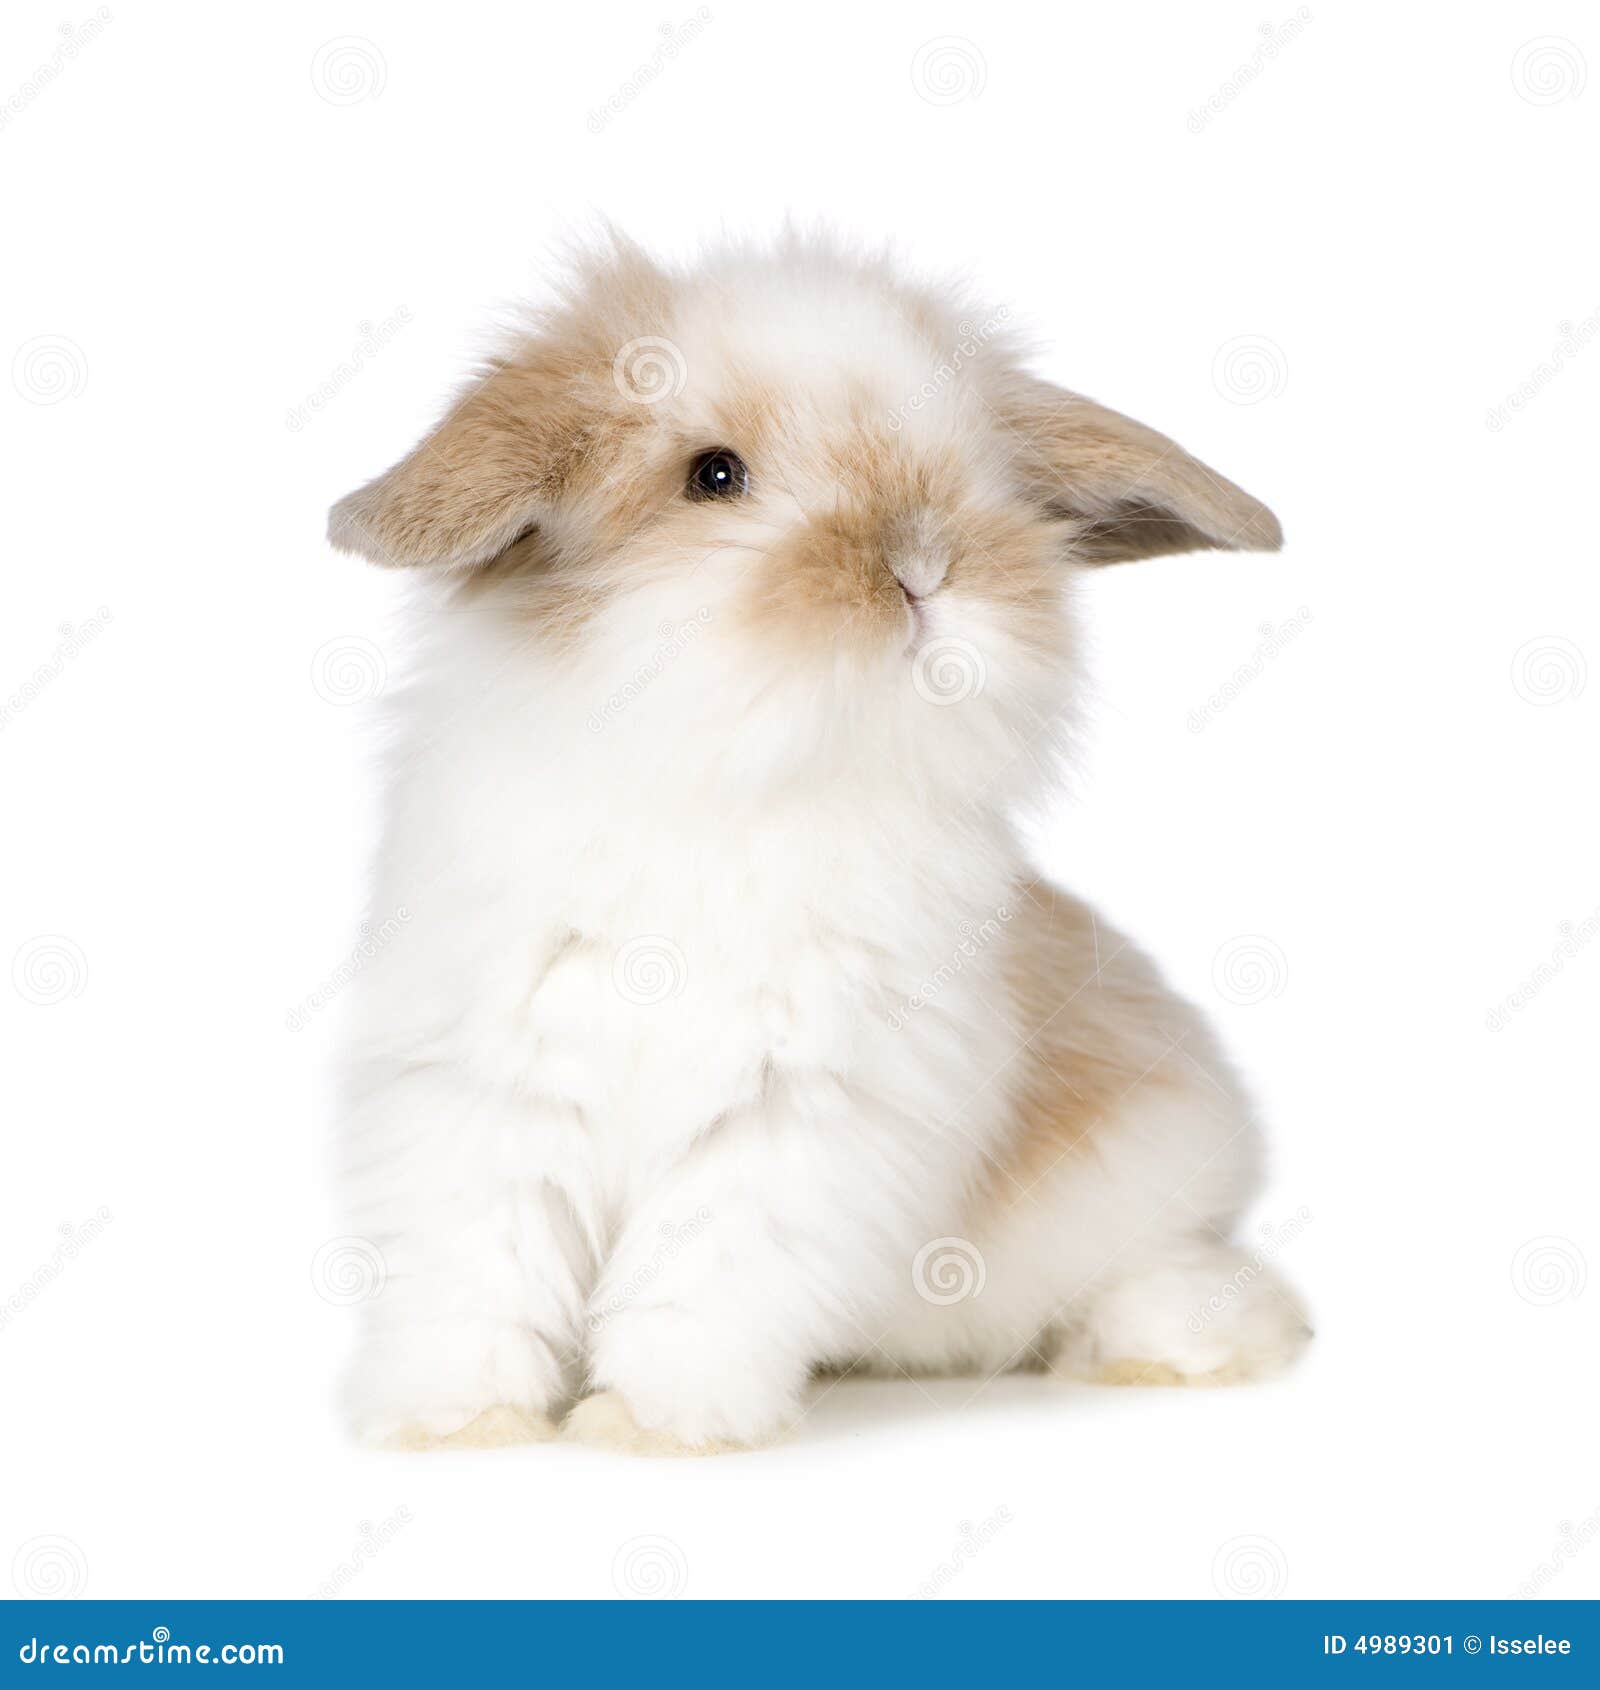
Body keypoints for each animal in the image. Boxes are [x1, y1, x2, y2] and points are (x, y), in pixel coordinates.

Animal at [326, 231, 1310, 1454]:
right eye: (713, 474)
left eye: (981, 477)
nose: (925, 564)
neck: (734, 788)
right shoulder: (484, 1091)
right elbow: (478, 1269)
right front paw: (458, 1423)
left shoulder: (795, 1123)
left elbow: (701, 1279)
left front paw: (651, 1424)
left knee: (1208, 1283)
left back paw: (1162, 1349)